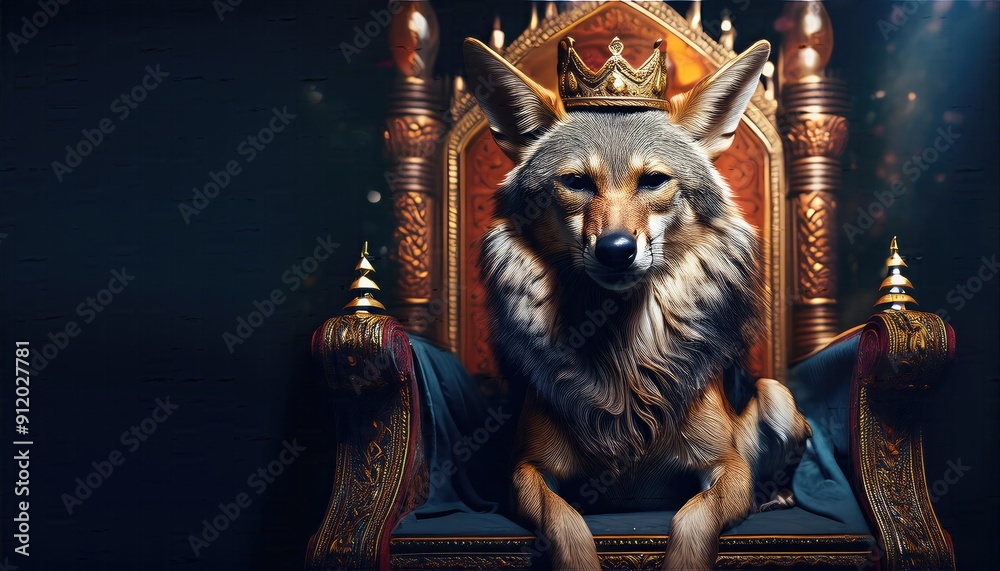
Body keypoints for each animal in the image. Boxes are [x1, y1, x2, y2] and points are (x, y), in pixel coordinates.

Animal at [463, 36, 811, 571]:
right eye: (577, 183)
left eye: (653, 181)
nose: (616, 249)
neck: (623, 357)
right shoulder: (528, 472)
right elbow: (567, 528)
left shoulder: (727, 469)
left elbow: (692, 522)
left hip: (776, 395)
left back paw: (778, 497)